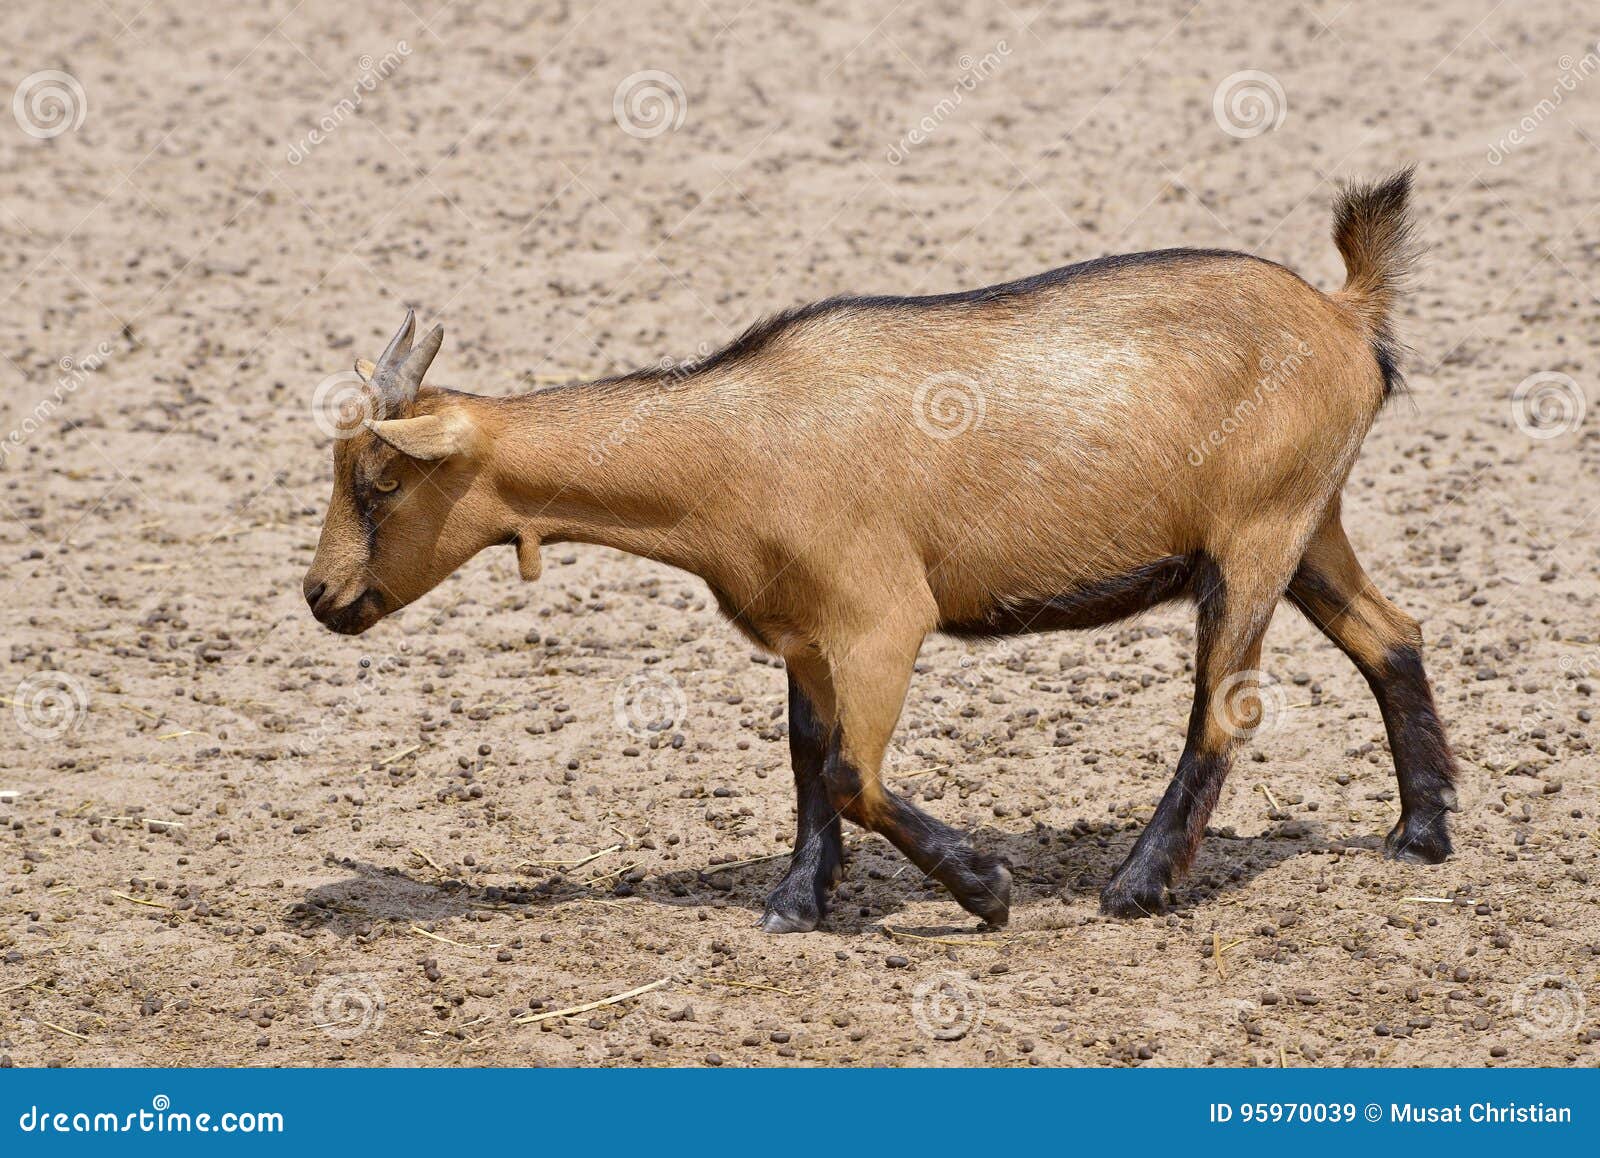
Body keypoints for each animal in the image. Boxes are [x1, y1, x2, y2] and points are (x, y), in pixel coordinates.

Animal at [303, 167, 1457, 931]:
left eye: (381, 482)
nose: (321, 594)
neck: (731, 443)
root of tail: (1345, 312)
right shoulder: (803, 634)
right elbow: (809, 762)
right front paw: (797, 899)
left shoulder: (880, 619)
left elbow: (853, 772)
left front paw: (986, 888)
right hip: (1310, 521)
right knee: (1390, 634)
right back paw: (1422, 832)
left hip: (1258, 533)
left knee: (1226, 707)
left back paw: (1138, 886)